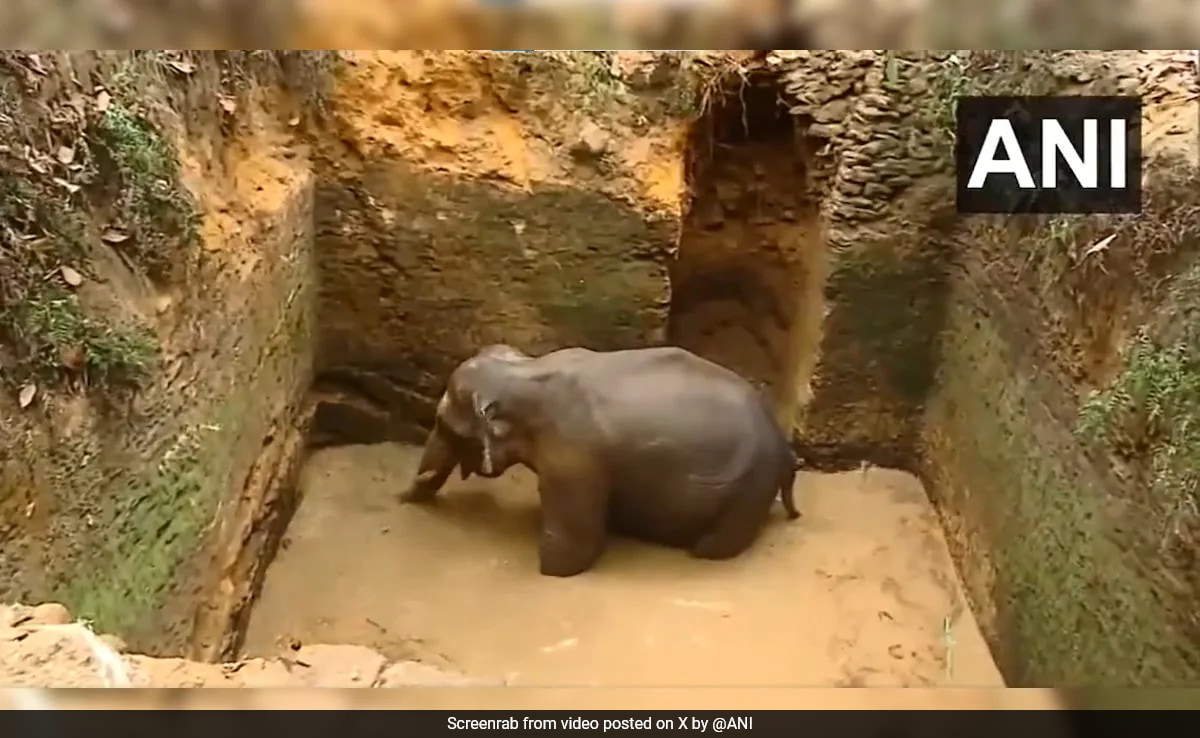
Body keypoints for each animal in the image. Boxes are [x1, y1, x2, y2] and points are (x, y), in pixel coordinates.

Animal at [399, 343, 801, 577]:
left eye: (444, 425)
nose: (399, 500)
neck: (526, 372)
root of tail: (784, 447)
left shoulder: (573, 457)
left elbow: (572, 544)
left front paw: (550, 568)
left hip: (748, 490)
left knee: (717, 544)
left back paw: (700, 551)